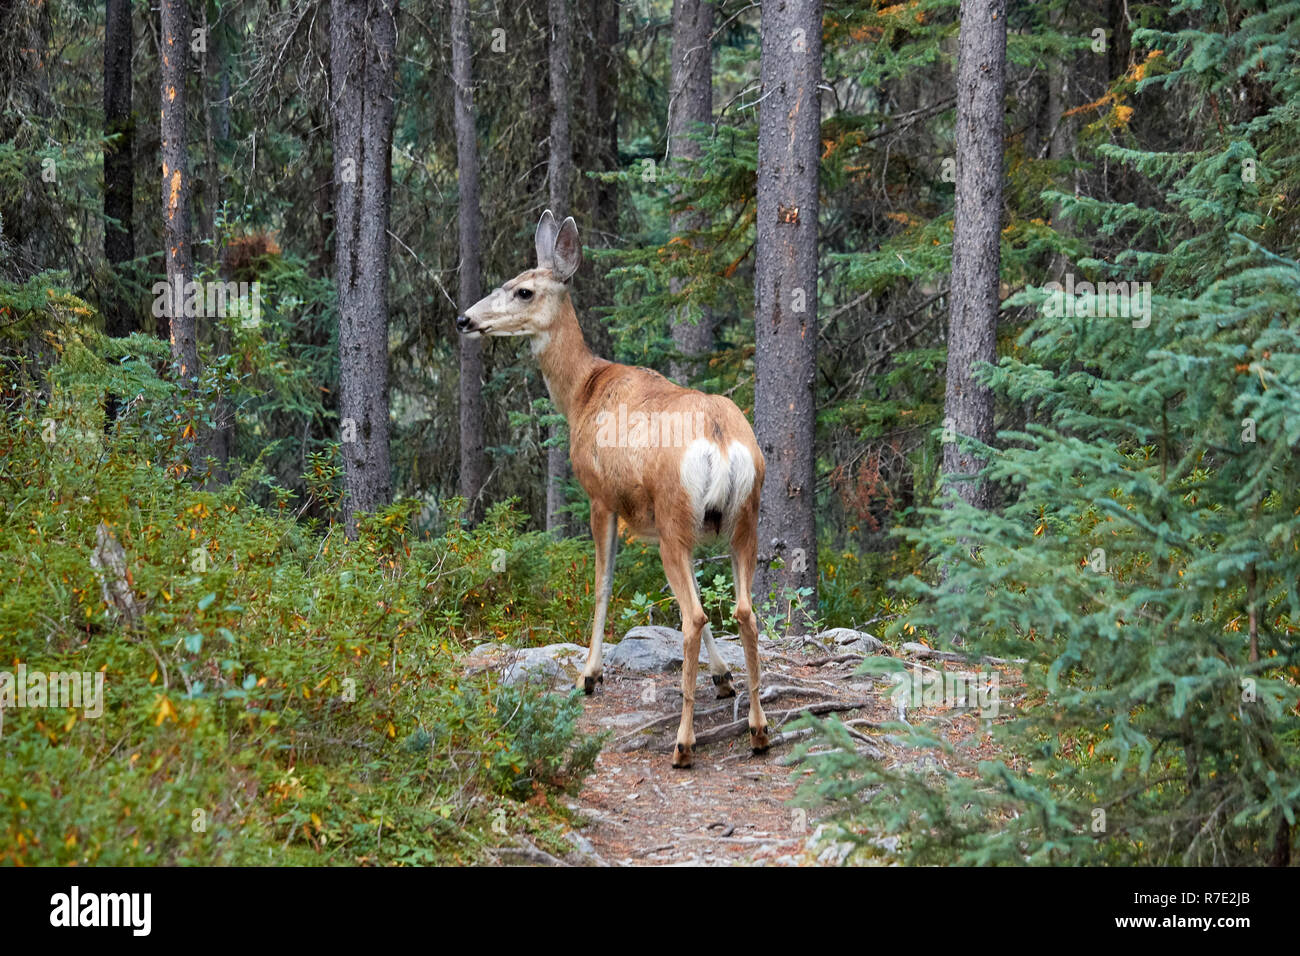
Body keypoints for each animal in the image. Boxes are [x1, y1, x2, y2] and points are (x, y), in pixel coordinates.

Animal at [456, 210, 770, 768]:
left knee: (693, 616)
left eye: (523, 290)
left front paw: (589, 673)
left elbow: (601, 585)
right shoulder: (660, 524)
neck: (581, 392)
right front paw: (723, 678)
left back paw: (683, 743)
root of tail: (719, 437)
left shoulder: (601, 497)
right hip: (740, 519)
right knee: (742, 612)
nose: (464, 319)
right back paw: (758, 730)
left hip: (677, 515)